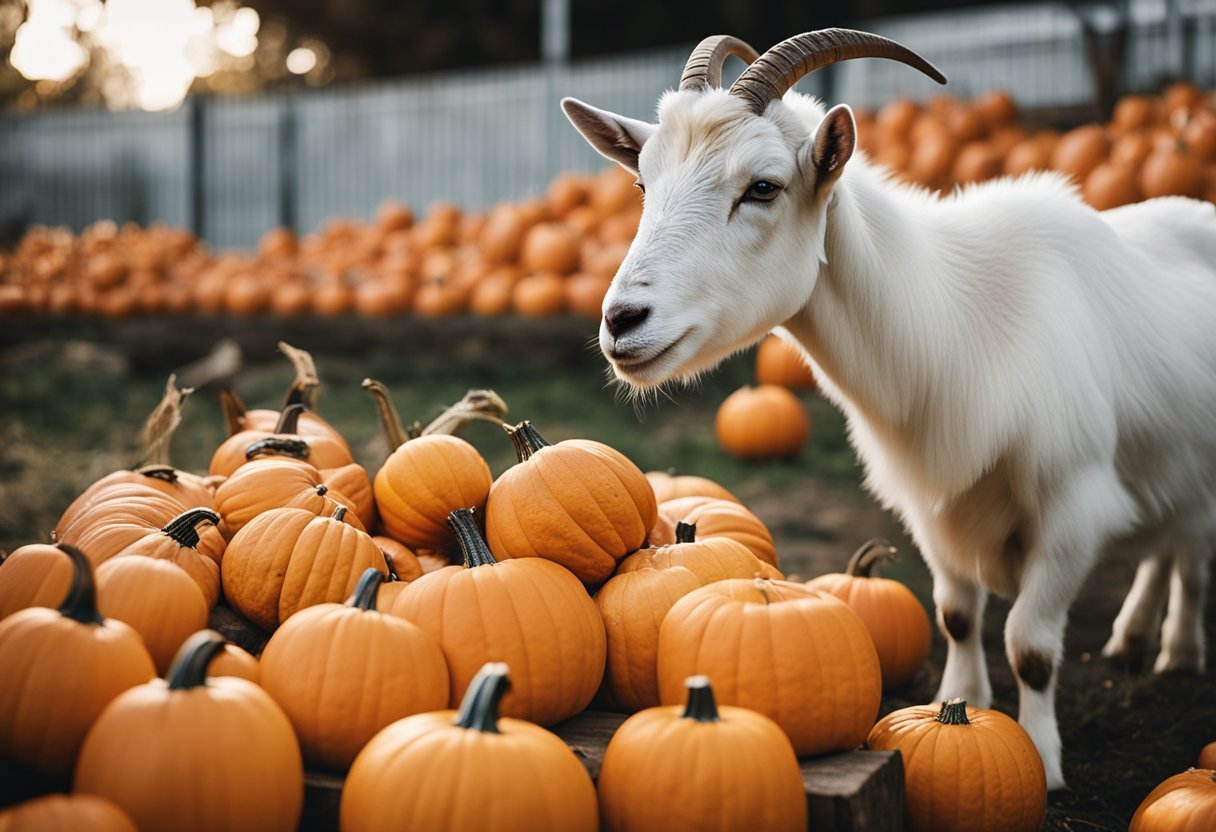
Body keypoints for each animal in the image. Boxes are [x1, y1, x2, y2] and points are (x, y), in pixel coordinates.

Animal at [562, 30, 1216, 790]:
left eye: (762, 187)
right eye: (643, 184)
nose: (622, 322)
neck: (957, 316)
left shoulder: (1073, 503)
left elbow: (1030, 644)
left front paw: (1043, 761)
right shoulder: (934, 506)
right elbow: (957, 615)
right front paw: (955, 706)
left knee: (1191, 550)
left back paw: (1178, 650)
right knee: (1167, 537)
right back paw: (1134, 639)